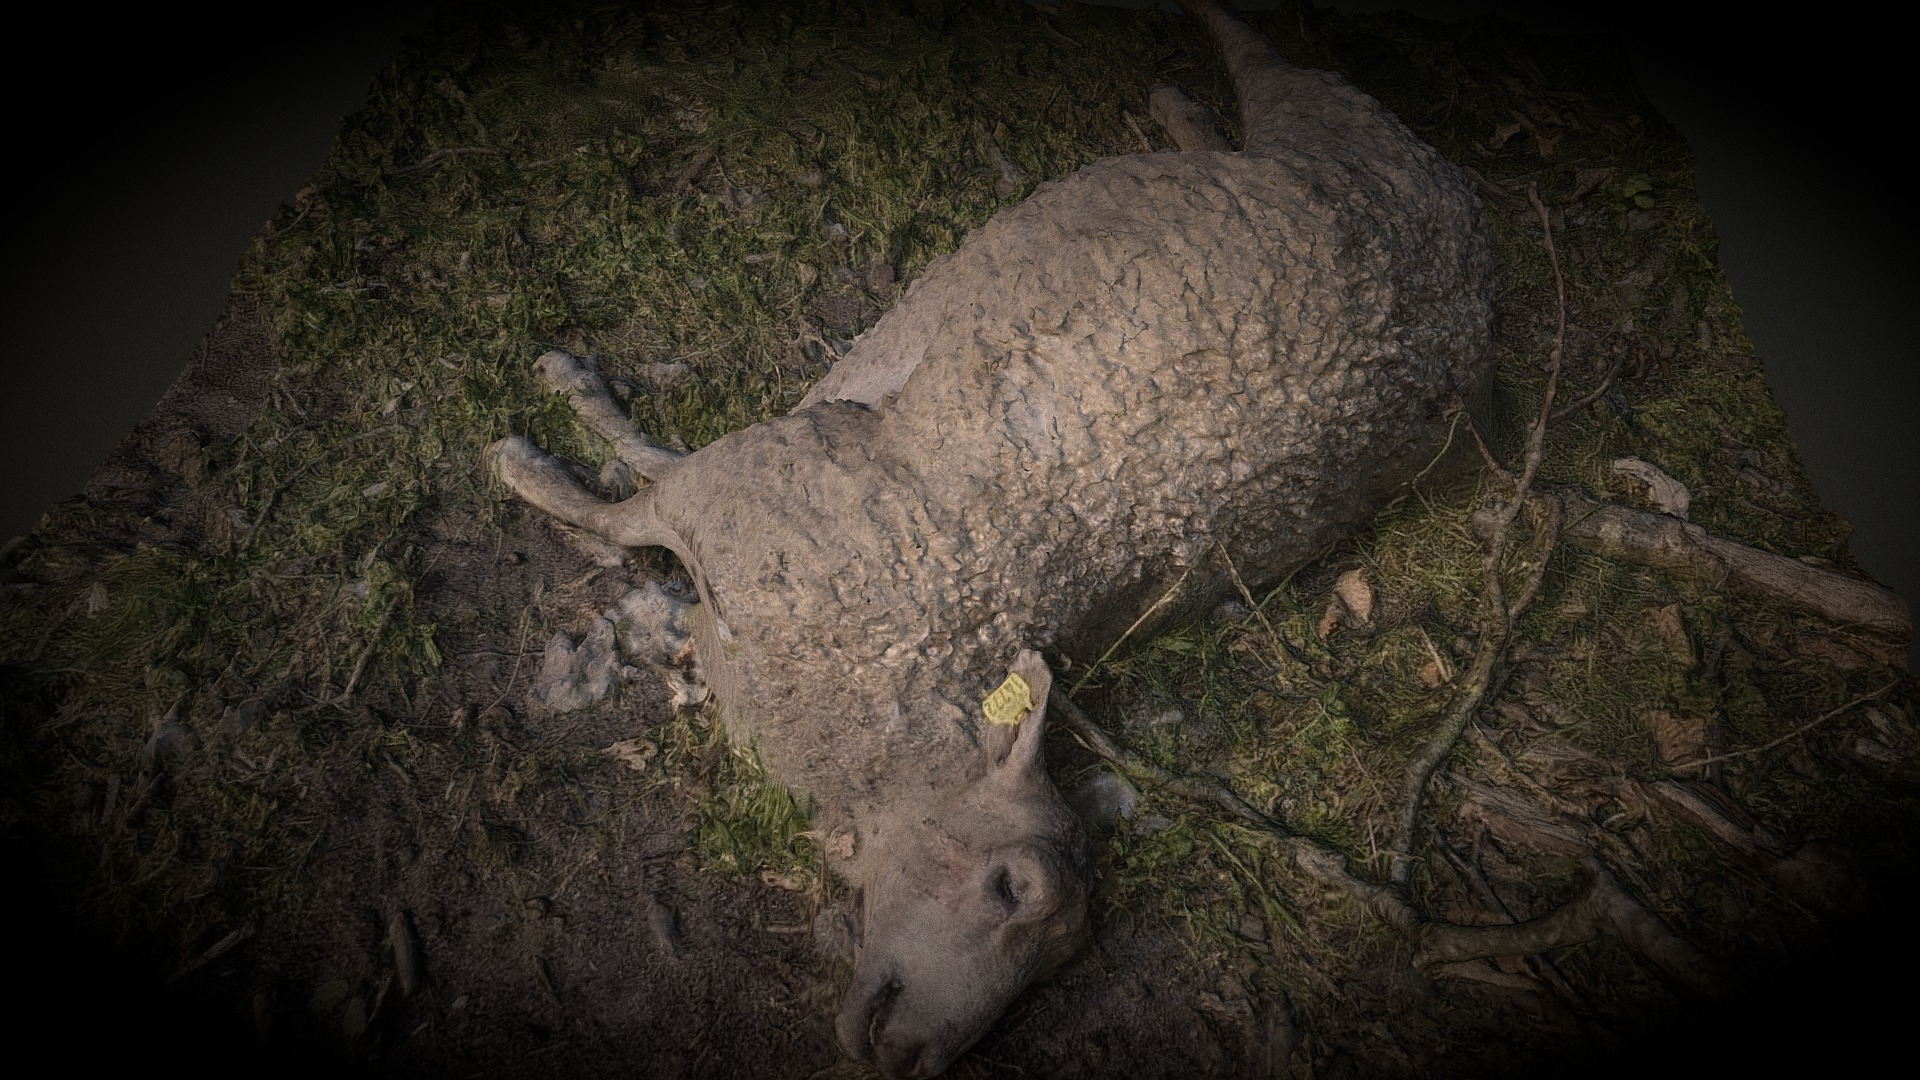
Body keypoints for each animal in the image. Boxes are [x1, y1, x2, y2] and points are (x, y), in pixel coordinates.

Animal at [488, 1, 1492, 1074]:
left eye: (1057, 957)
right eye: (1014, 886)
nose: (916, 1055)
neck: (900, 693)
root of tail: (1466, 241)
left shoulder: (748, 486)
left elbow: (634, 485)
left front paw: (546, 429)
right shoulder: (746, 477)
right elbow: (624, 488)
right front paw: (538, 428)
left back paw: (1173, 103)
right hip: (1330, 122)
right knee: (1266, 65)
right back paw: (1185, 72)